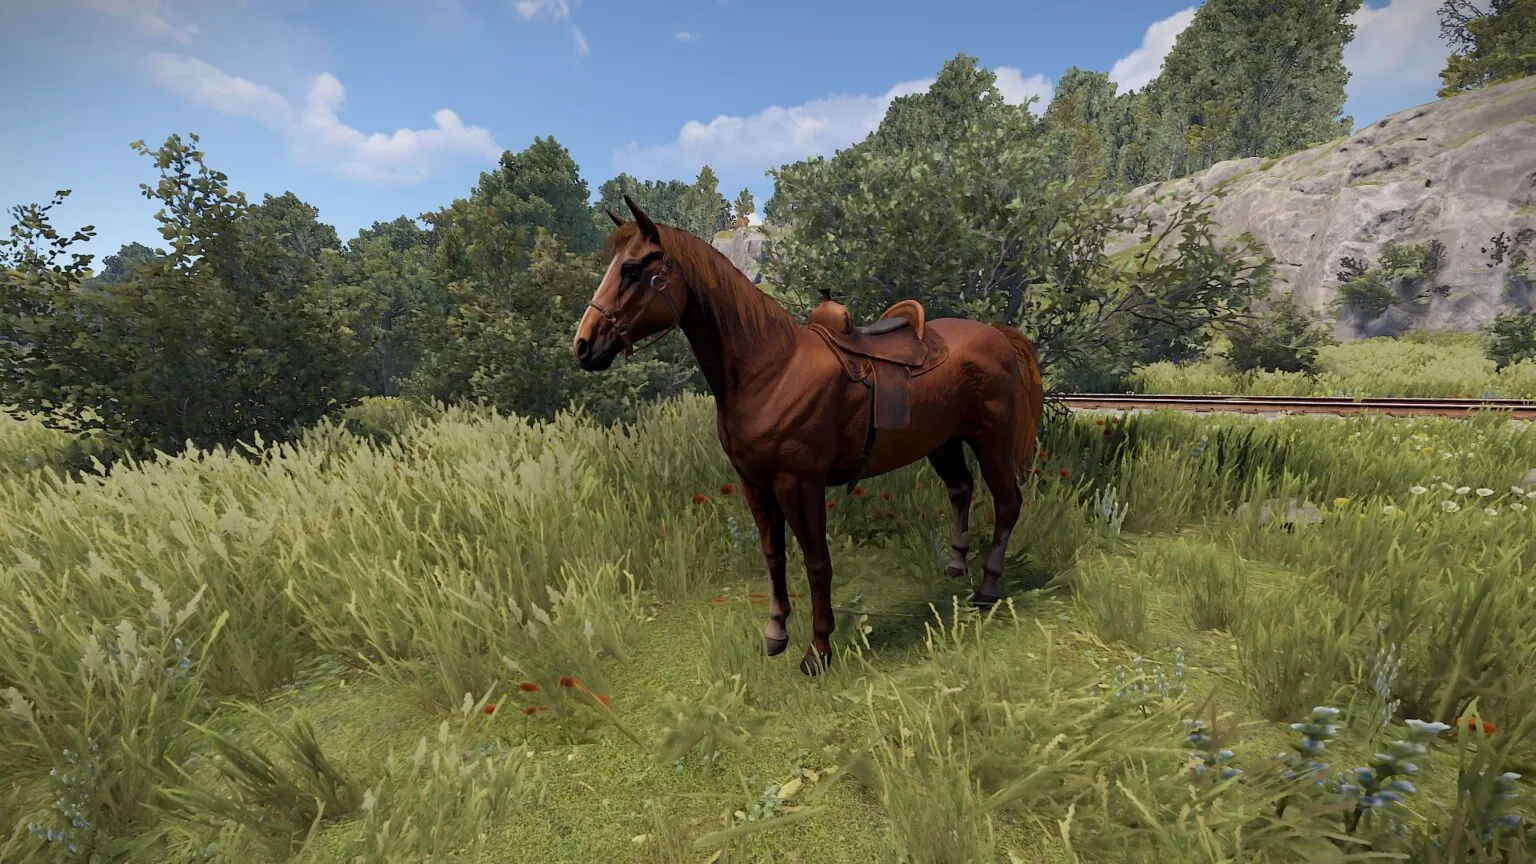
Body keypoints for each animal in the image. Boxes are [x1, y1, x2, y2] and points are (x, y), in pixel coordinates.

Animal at [571, 195, 1044, 676]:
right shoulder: (755, 483)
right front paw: (776, 633)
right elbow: (773, 555)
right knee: (961, 489)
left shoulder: (799, 484)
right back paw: (954, 565)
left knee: (1007, 503)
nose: (583, 346)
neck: (772, 370)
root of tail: (997, 335)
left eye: (631, 269)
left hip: (991, 442)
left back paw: (987, 589)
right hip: (942, 443)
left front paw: (818, 649)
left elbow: (817, 562)